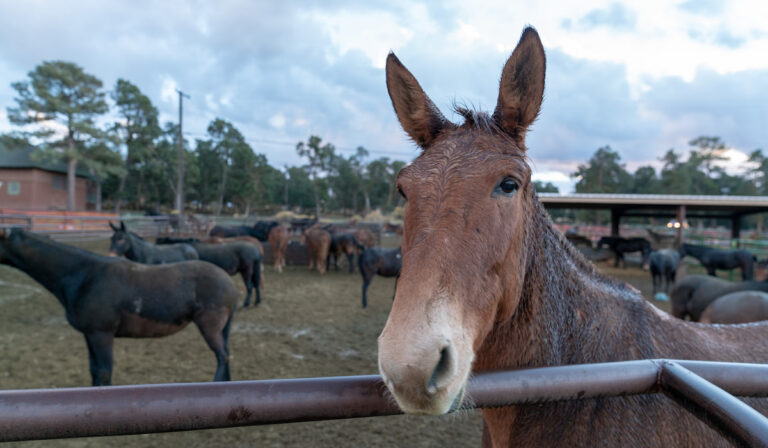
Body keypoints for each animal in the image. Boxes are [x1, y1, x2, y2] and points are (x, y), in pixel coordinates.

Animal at [0, 228, 238, 385]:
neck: (84, 275)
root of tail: (228, 282)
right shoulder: (89, 334)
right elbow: (94, 371)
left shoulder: (101, 334)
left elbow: (104, 372)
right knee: (226, 353)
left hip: (209, 326)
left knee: (222, 356)